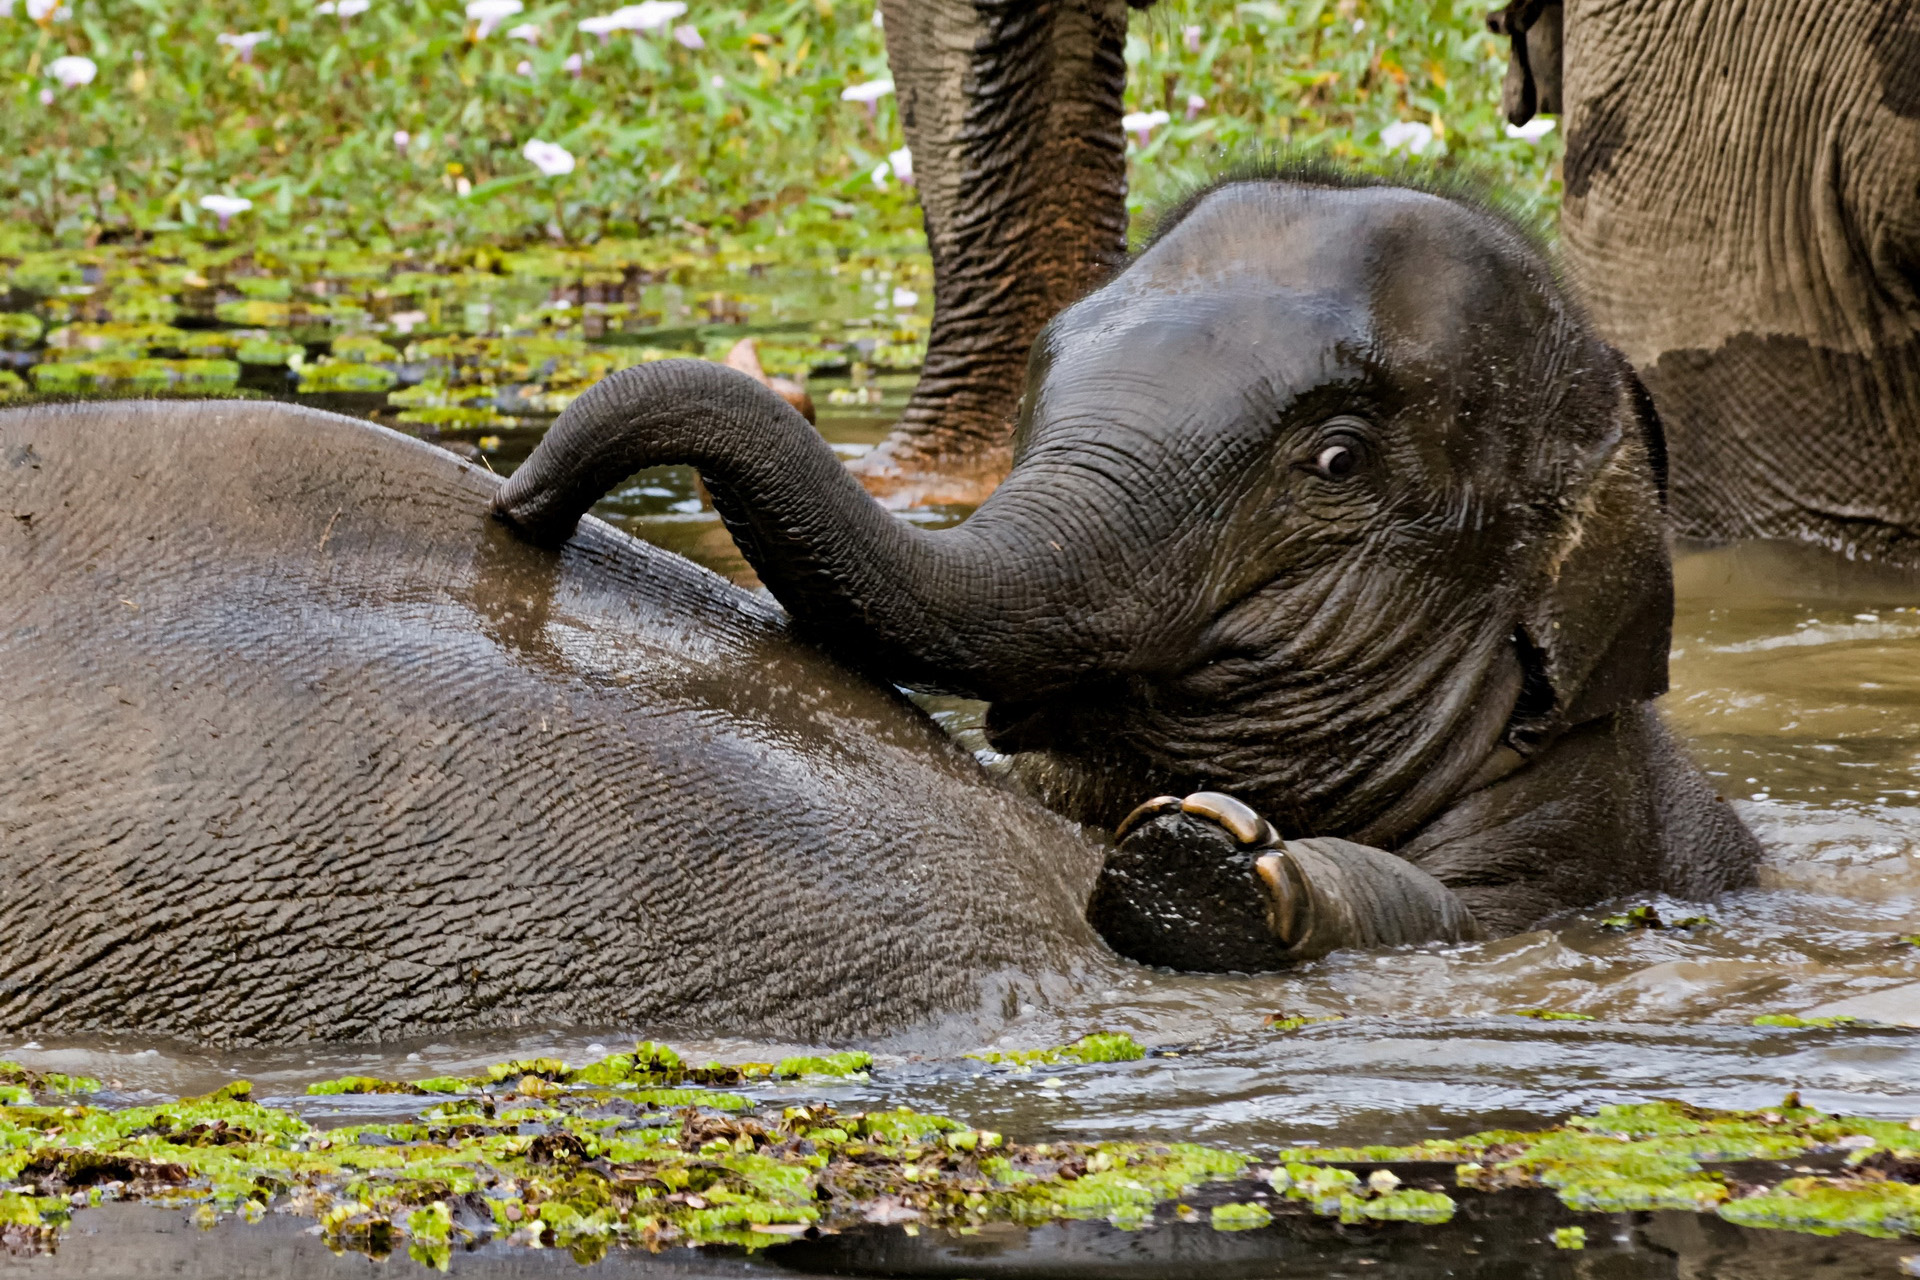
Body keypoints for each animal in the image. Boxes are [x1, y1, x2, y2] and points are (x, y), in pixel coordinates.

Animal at [495, 168, 1764, 973]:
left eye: (1338, 459)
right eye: (1035, 396)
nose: (523, 503)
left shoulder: (1585, 822)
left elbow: (1456, 913)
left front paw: (1203, 856)